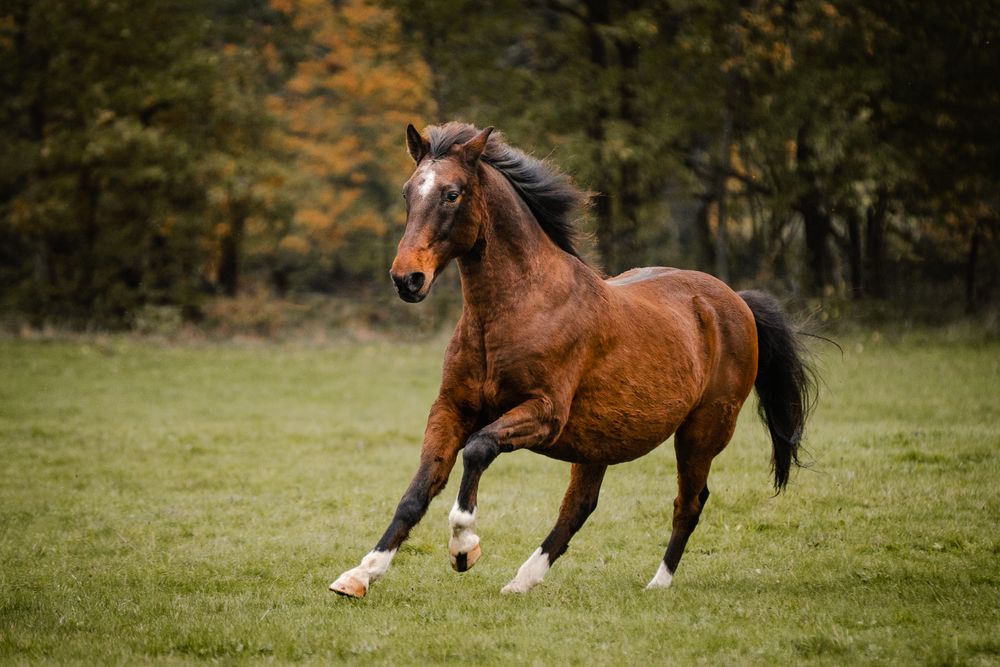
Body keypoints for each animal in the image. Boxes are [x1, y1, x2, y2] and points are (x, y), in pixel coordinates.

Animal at [330, 122, 816, 597]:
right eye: (407, 193)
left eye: (452, 194)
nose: (407, 279)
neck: (516, 308)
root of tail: (735, 300)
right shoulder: (452, 408)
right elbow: (417, 492)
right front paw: (360, 575)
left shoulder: (545, 414)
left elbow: (478, 449)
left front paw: (464, 548)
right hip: (601, 438)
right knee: (580, 505)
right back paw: (522, 582)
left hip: (702, 430)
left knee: (688, 503)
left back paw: (656, 584)